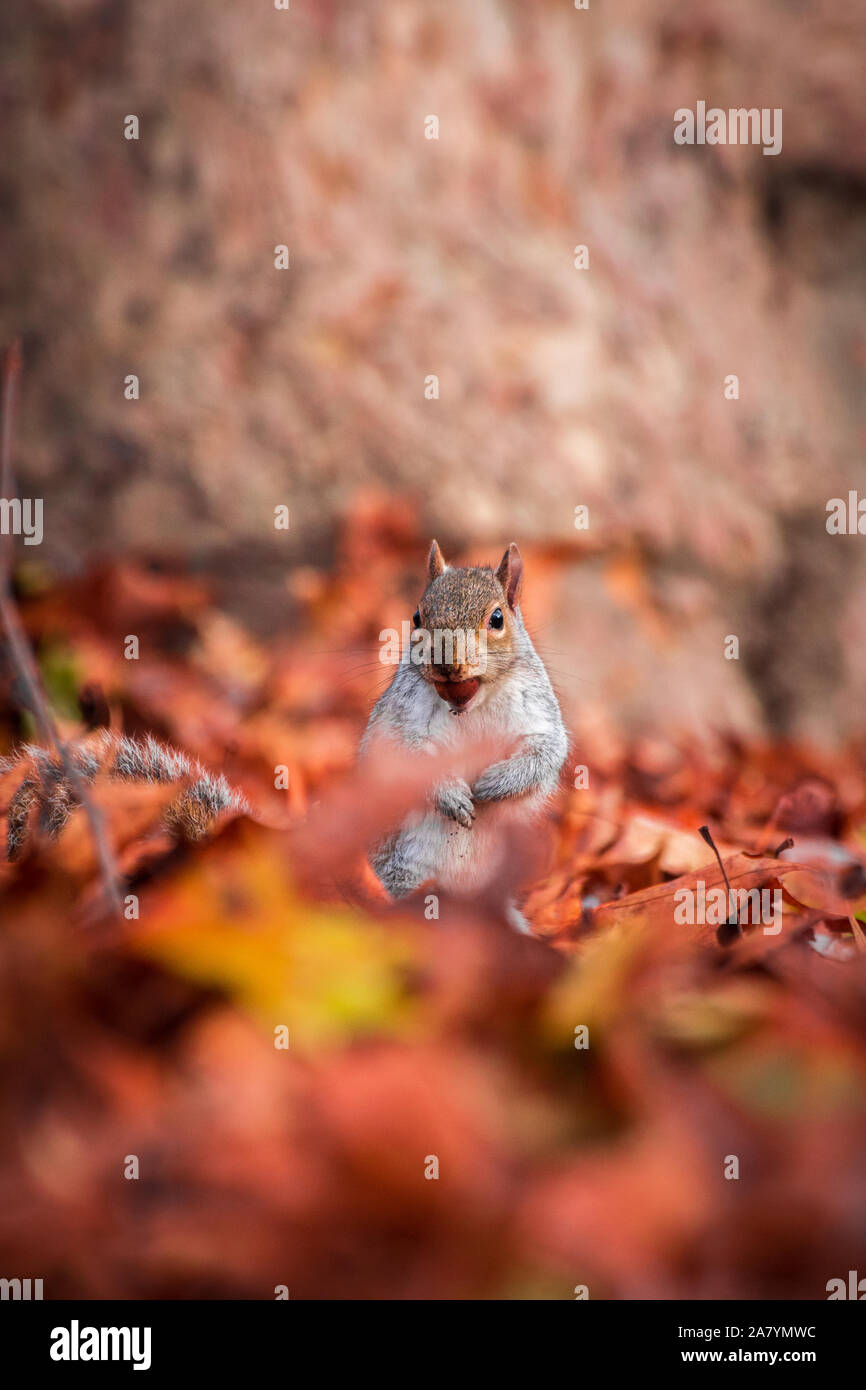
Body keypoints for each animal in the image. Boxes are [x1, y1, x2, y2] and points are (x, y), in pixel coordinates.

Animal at [361, 540, 568, 930]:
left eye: (497, 619)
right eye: (417, 617)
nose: (445, 662)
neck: (470, 708)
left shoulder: (540, 717)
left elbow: (545, 753)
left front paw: (496, 784)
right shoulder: (396, 725)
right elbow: (403, 757)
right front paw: (452, 795)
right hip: (403, 871)